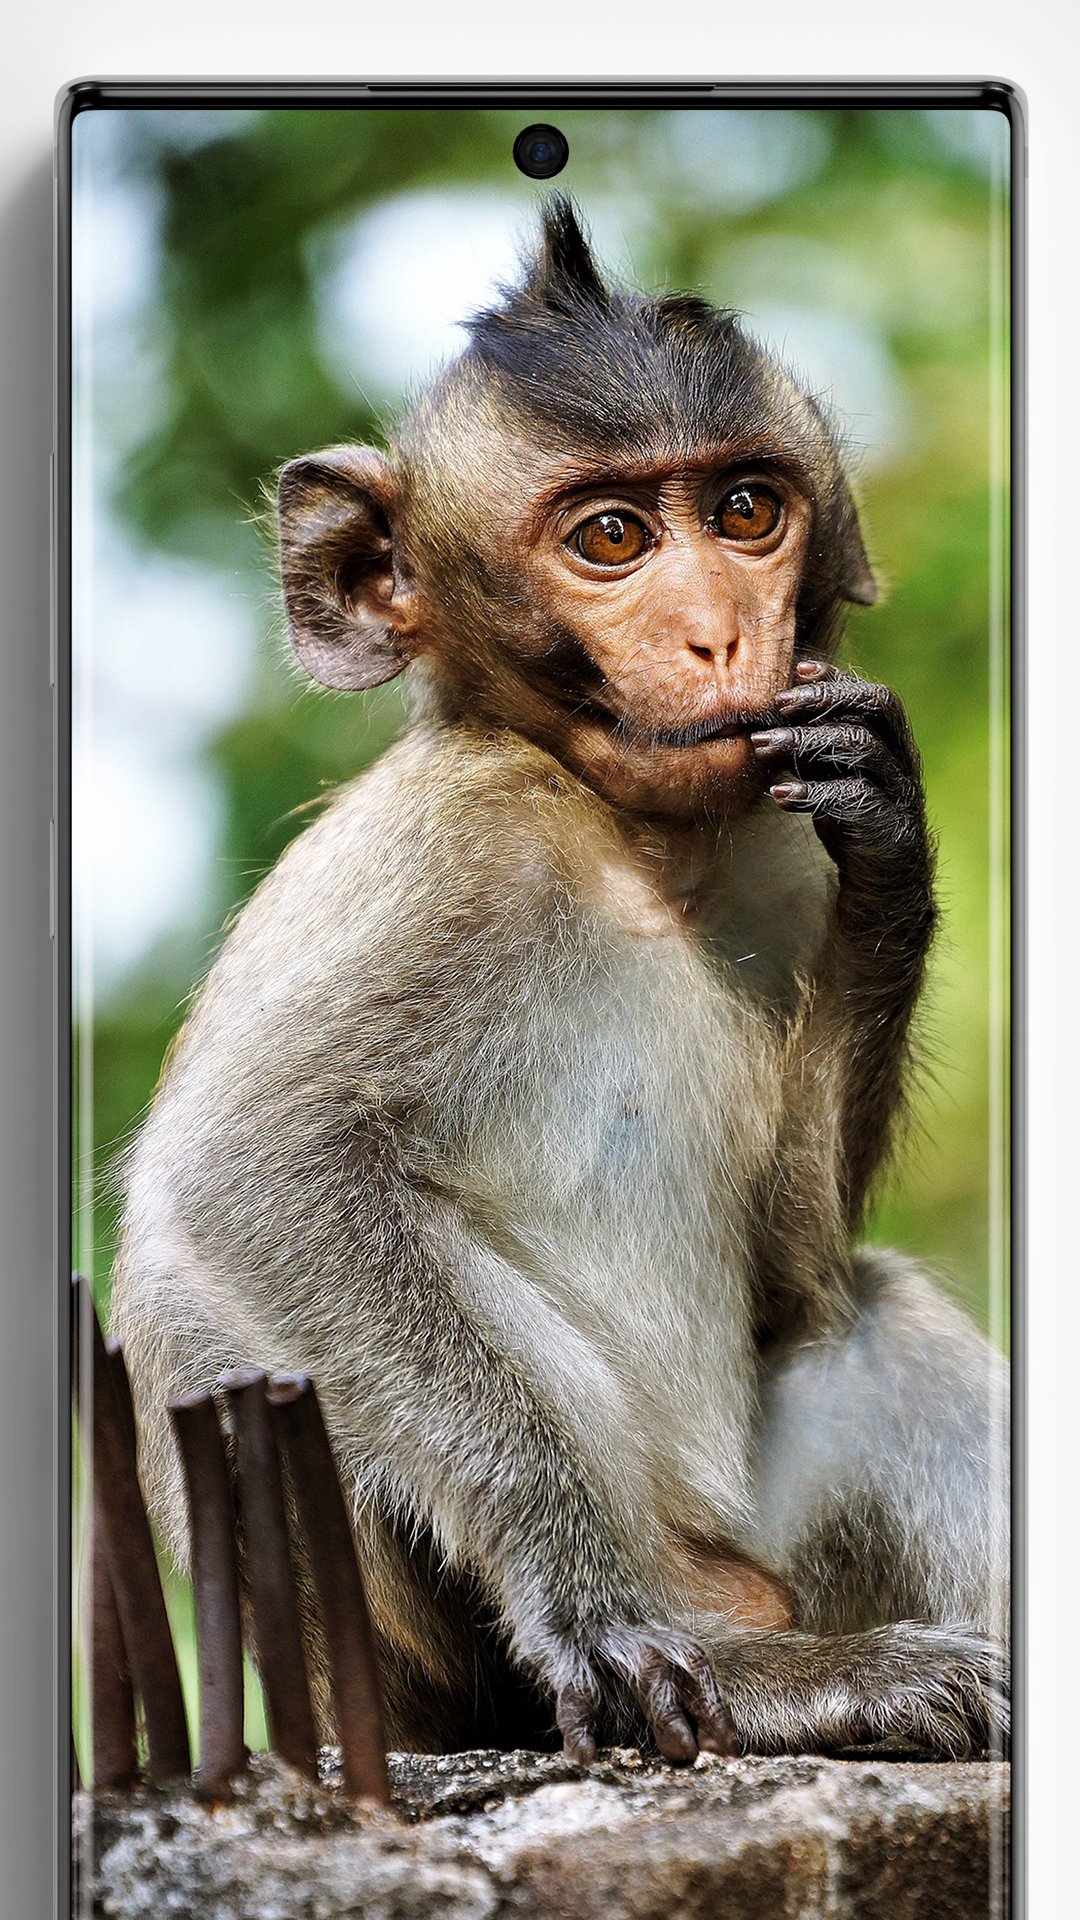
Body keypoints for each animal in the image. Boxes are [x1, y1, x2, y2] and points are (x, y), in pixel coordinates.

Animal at [109, 198, 1009, 1766]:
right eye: (612, 537)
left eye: (747, 512)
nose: (723, 636)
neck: (631, 842)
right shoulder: (457, 851)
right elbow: (256, 1167)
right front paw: (589, 1611)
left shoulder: (778, 846)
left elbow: (799, 1270)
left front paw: (890, 836)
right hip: (433, 1665)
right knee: (199, 1294)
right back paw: (759, 1680)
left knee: (871, 1313)